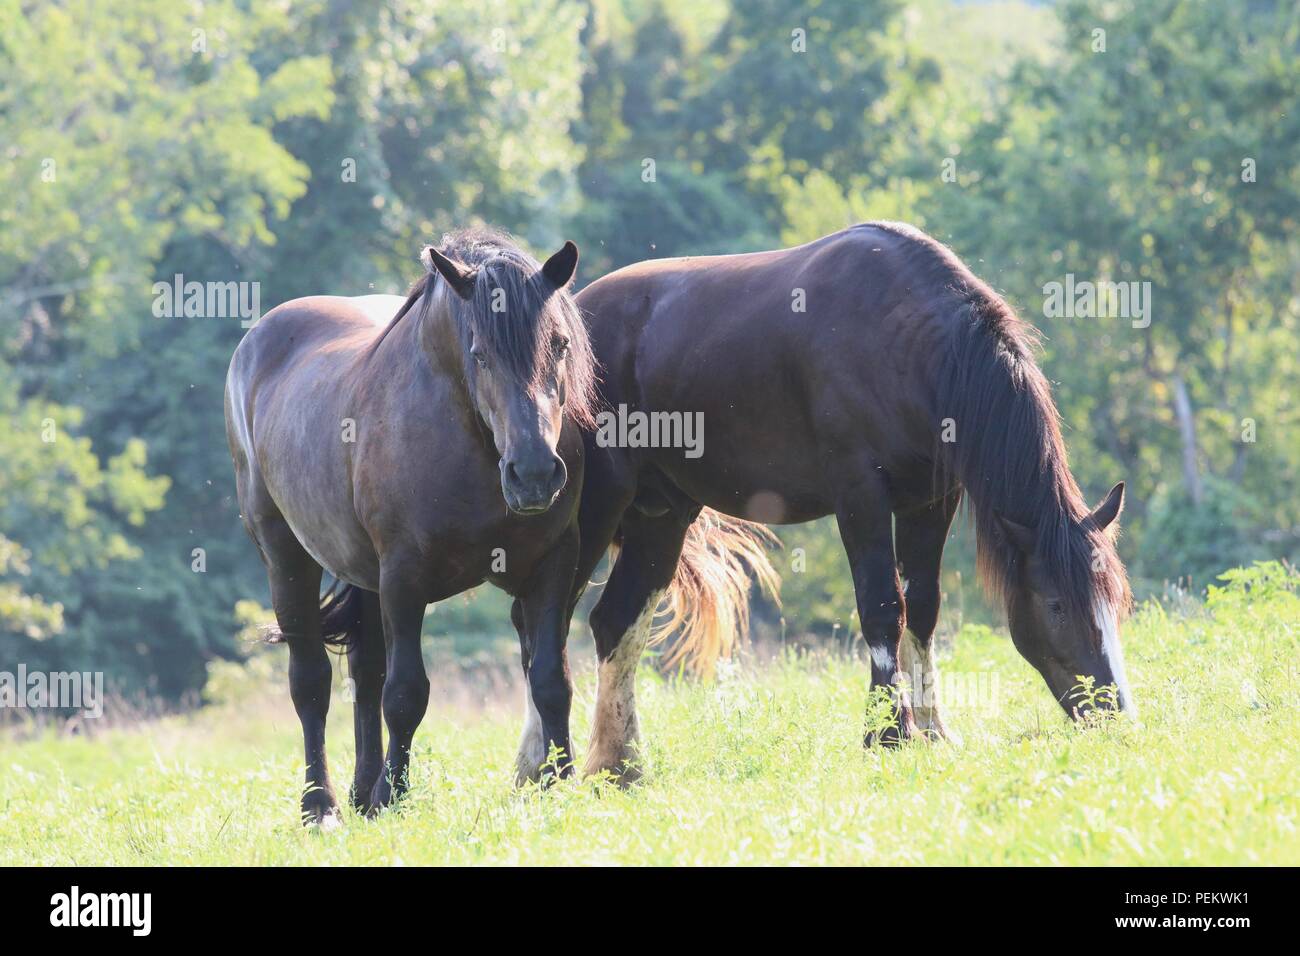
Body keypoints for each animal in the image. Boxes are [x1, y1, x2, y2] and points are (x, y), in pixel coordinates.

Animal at [225, 228, 600, 825]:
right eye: (479, 354)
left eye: (561, 344)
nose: (535, 474)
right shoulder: (404, 576)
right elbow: (405, 694)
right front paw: (393, 795)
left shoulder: (552, 565)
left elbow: (550, 680)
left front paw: (557, 783)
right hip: (285, 556)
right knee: (311, 683)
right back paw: (321, 805)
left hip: (363, 574)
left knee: (363, 674)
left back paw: (360, 793)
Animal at [568, 221, 1134, 781]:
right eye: (1057, 605)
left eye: (1115, 601)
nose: (1114, 713)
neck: (907, 344)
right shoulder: (860, 495)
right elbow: (883, 607)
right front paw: (887, 734)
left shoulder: (930, 501)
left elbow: (922, 609)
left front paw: (933, 730)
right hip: (595, 513)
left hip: (661, 516)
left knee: (615, 624)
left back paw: (619, 764)